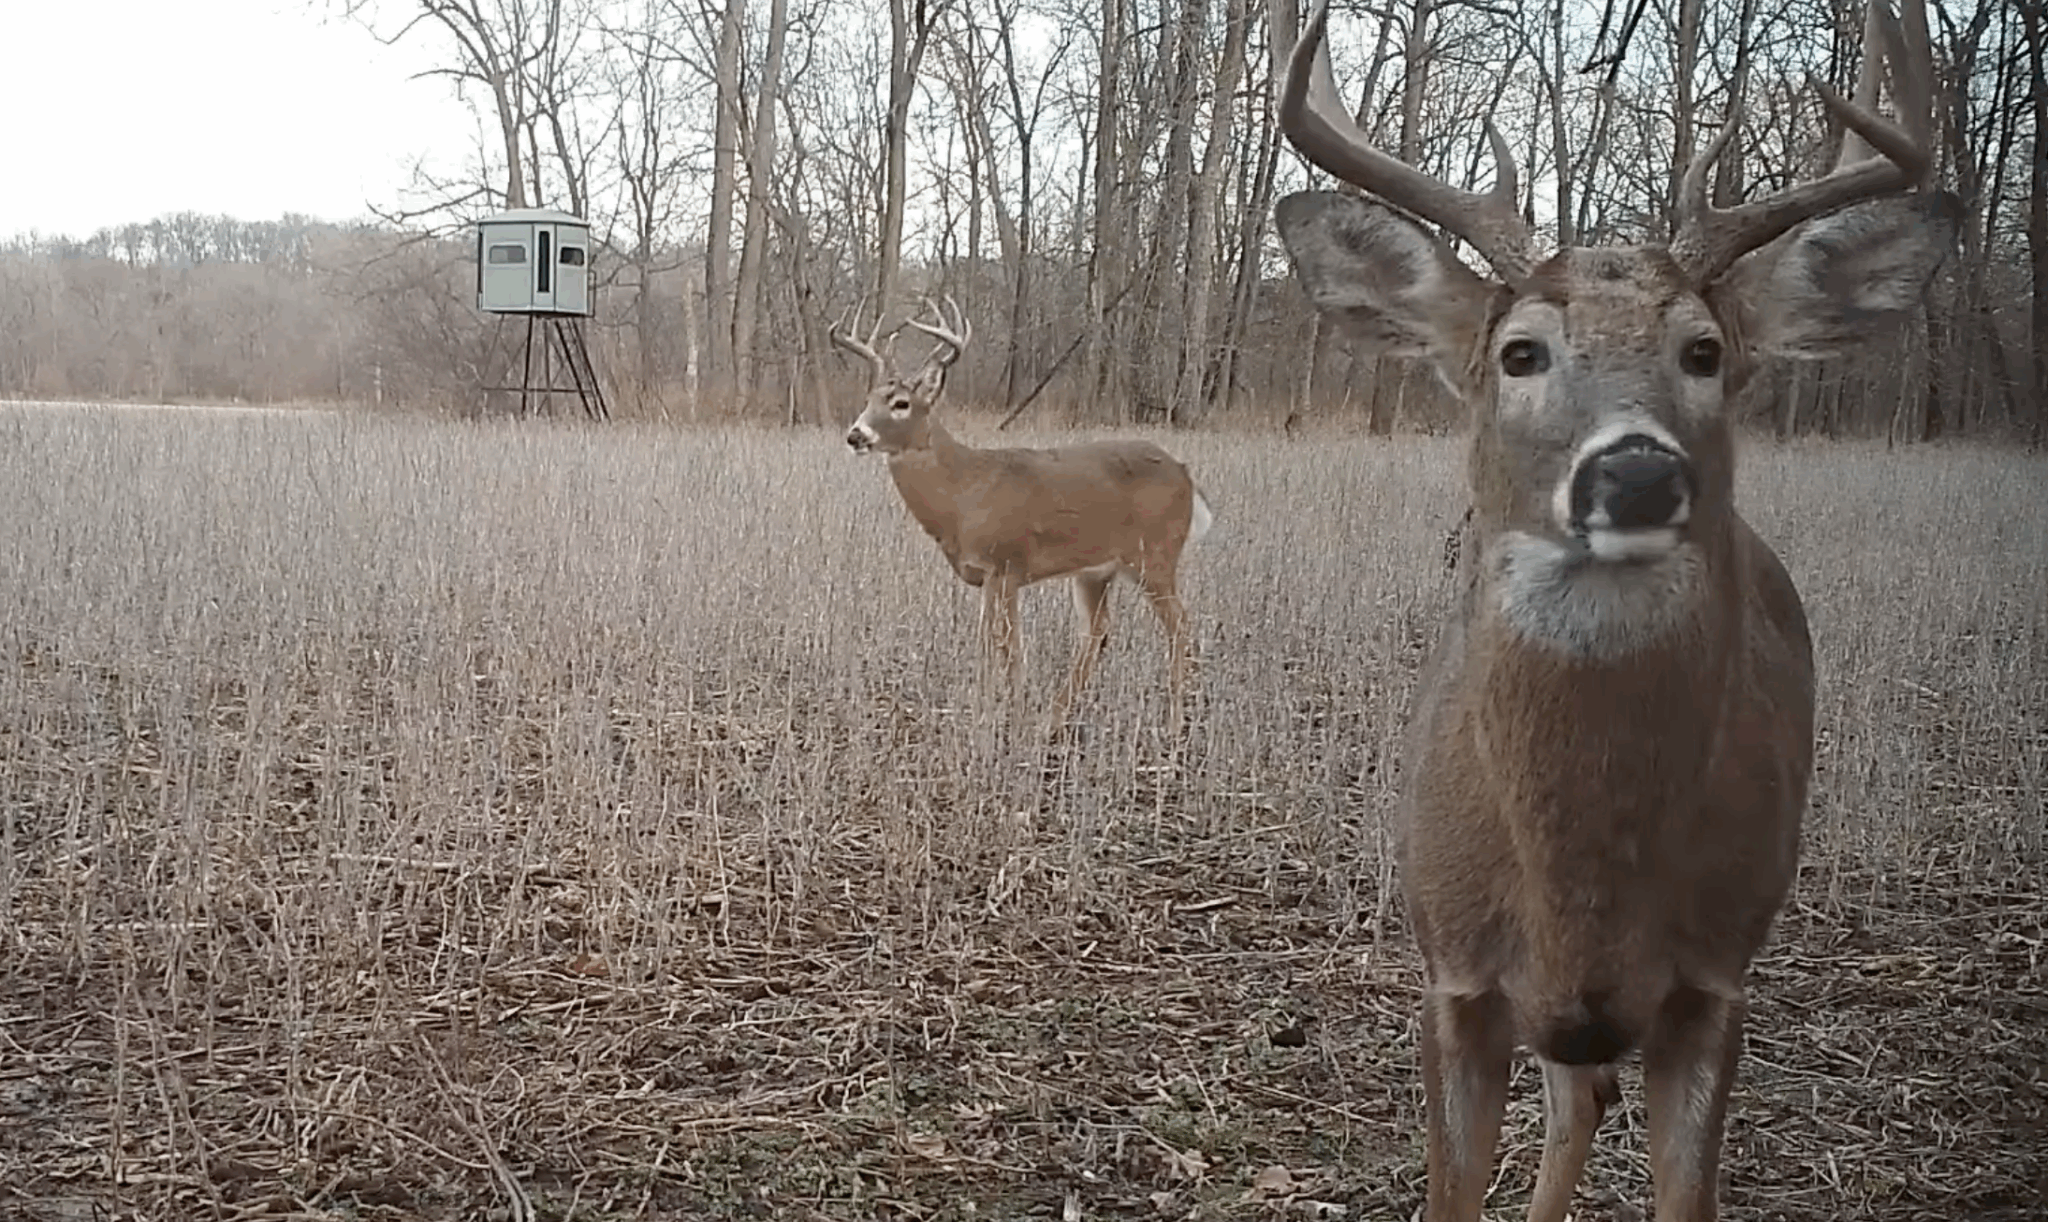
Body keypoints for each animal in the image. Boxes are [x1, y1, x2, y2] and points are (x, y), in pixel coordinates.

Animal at [834, 297, 1214, 726]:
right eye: (868, 400)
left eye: (901, 404)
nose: (856, 435)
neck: (963, 491)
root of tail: (1186, 474)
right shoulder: (986, 576)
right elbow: (987, 647)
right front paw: (985, 711)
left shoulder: (1006, 565)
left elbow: (1010, 649)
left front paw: (1012, 716)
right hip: (1096, 570)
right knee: (1098, 629)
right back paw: (1055, 717)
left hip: (1156, 555)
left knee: (1181, 625)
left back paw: (1176, 719)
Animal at [1269, 1, 1955, 1219]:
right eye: (1519, 351)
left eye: (1705, 350)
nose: (1635, 472)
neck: (1577, 885)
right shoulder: (1453, 977)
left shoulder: (1714, 981)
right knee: (1578, 1093)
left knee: (1583, 1095)